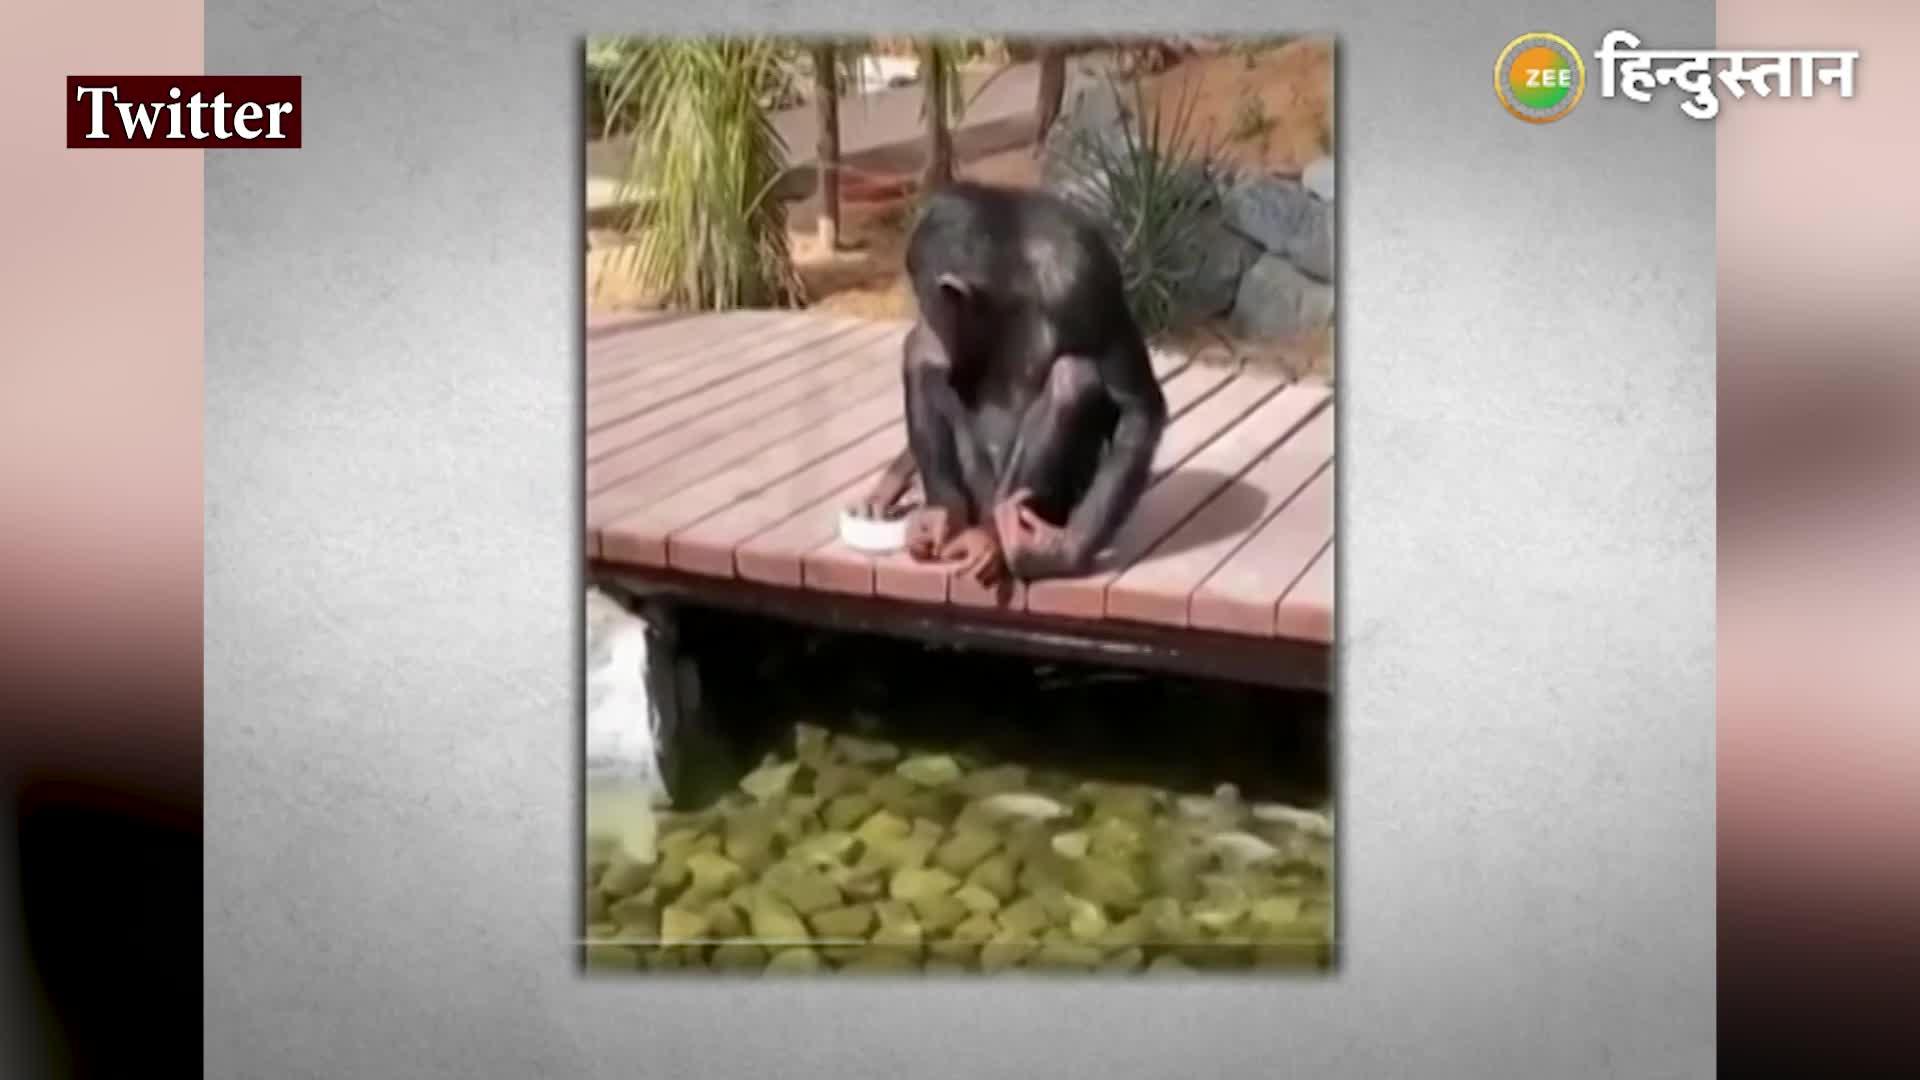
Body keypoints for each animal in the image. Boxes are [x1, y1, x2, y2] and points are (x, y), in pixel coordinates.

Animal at [848, 181, 1168, 586]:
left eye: (925, 298)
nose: (924, 315)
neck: (1010, 281)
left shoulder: (1088, 278)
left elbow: (1136, 406)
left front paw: (1063, 550)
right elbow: (925, 357)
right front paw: (892, 489)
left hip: (1036, 502)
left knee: (1073, 378)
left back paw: (992, 540)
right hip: (976, 490)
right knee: (919, 357)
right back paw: (944, 517)